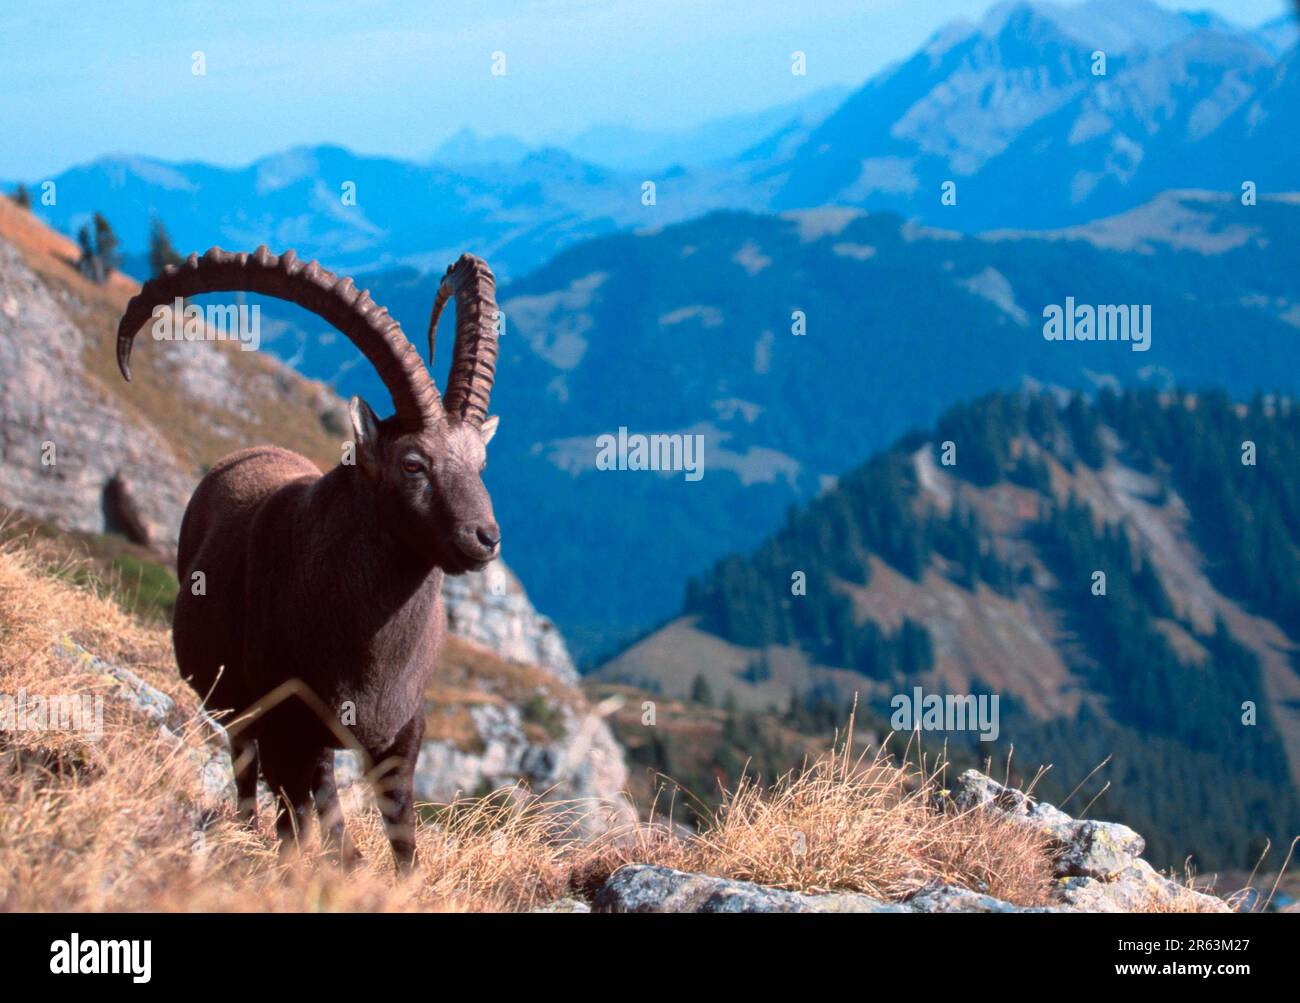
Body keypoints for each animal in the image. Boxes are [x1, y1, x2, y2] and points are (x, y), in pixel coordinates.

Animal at [115, 246, 502, 868]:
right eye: (413, 464)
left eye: (480, 462)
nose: (485, 537)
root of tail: (248, 453)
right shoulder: (290, 721)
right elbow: (313, 827)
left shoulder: (403, 731)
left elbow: (402, 839)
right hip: (243, 709)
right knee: (253, 771)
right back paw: (249, 830)